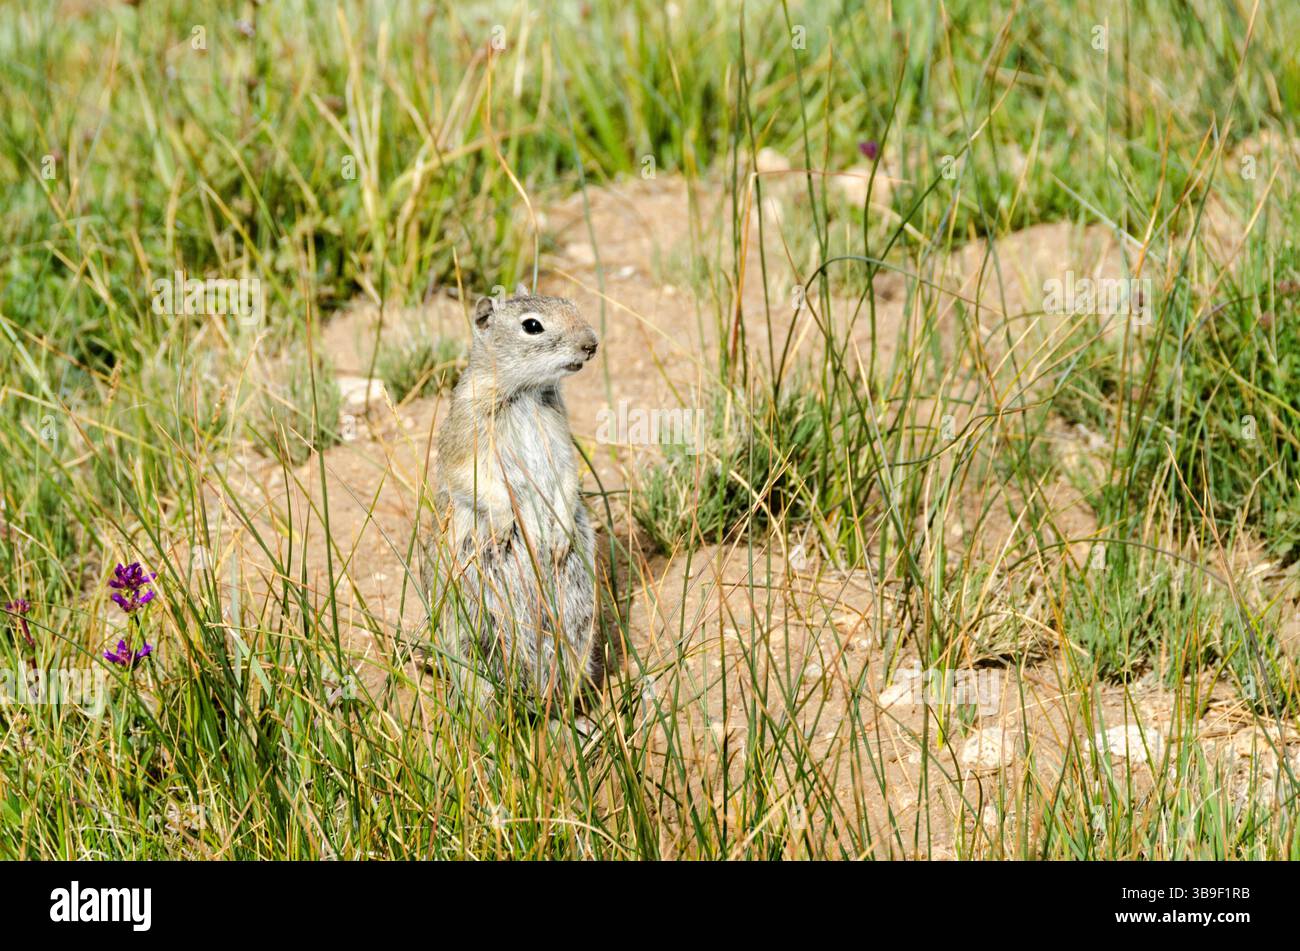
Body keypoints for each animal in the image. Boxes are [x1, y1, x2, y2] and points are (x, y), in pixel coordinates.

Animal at [422, 285, 603, 717]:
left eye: (571, 305)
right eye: (532, 326)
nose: (591, 344)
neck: (526, 394)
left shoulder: (562, 443)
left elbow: (567, 481)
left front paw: (558, 539)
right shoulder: (467, 435)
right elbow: (475, 481)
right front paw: (505, 528)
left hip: (578, 629)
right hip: (472, 638)